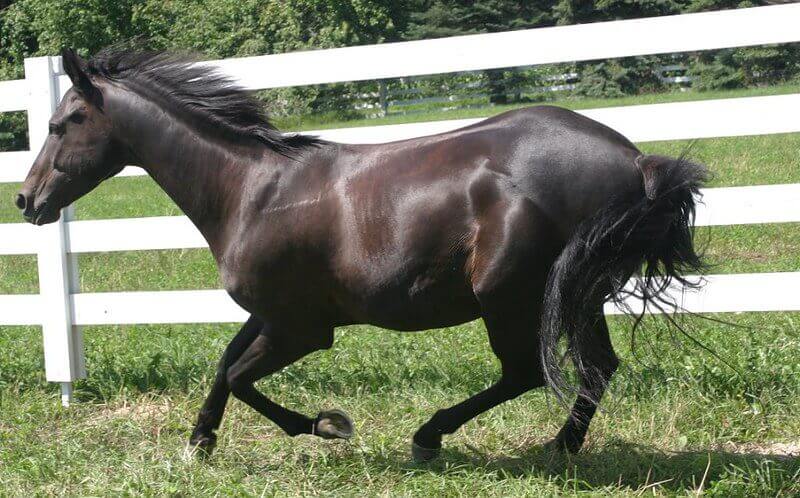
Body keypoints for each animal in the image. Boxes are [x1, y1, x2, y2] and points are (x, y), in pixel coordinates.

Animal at [17, 46, 707, 462]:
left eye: (61, 124)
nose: (26, 201)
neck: (251, 191)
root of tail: (636, 163)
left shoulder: (302, 329)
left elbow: (240, 377)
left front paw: (328, 426)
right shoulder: (273, 314)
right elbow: (223, 365)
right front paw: (199, 441)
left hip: (512, 297)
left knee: (529, 372)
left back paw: (433, 438)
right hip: (577, 294)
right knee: (598, 367)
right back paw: (561, 448)